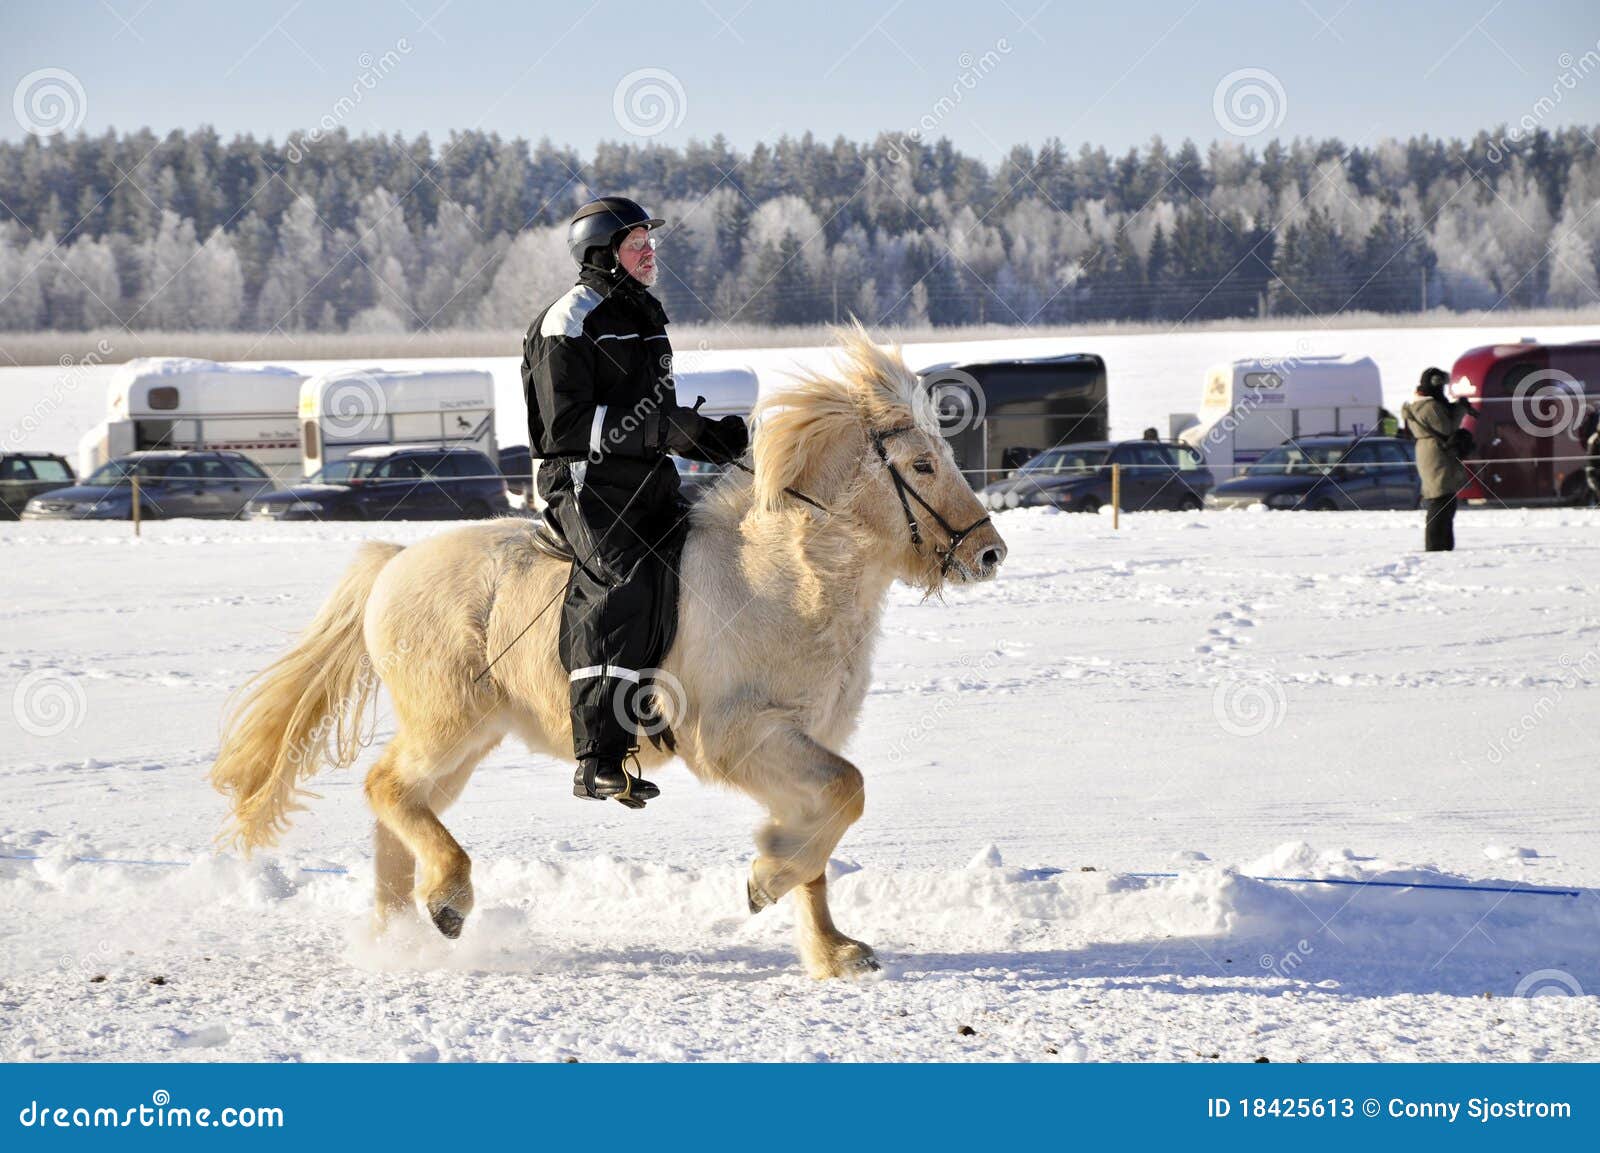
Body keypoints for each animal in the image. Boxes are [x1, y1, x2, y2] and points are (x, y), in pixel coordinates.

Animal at [209, 326, 1008, 979]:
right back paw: (450, 897)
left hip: (468, 740)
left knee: (398, 803)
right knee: (386, 787)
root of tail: (394, 563)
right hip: (449, 726)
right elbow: (847, 793)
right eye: (923, 465)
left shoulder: (802, 736)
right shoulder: (739, 737)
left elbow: (826, 822)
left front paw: (830, 948)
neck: (784, 576)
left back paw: (403, 932)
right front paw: (766, 878)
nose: (990, 553)